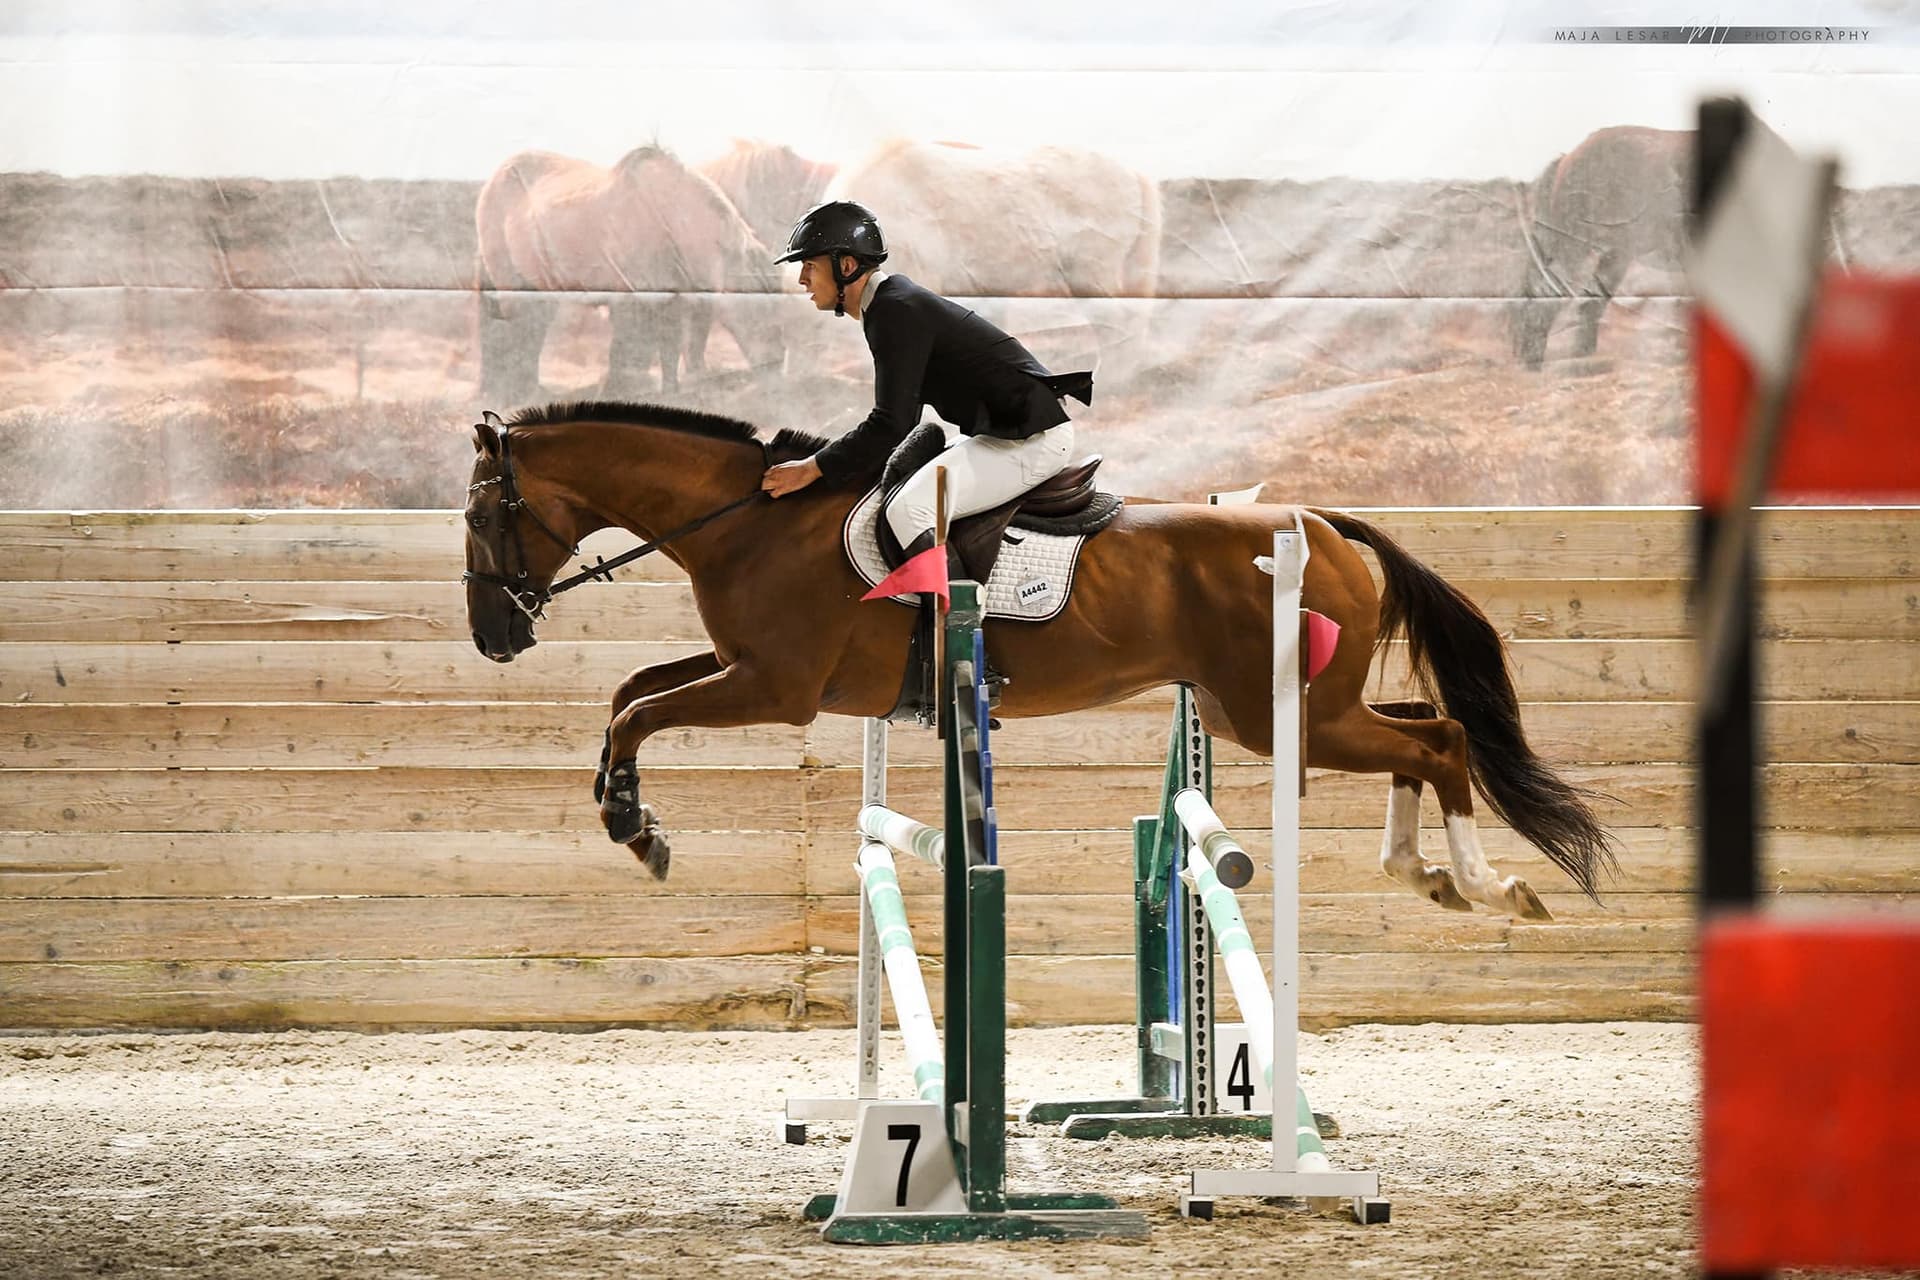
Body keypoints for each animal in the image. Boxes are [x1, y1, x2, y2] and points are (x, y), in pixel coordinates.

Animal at [461, 401, 1618, 922]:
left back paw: (1488, 881)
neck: (750, 519)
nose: (493, 638)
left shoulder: (773, 689)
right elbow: (631, 691)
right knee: (1428, 732)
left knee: (1443, 742)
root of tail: (1320, 523)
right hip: (1282, 709)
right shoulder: (743, 666)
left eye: (481, 514)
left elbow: (637, 712)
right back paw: (1426, 872)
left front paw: (633, 826)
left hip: (1277, 713)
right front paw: (624, 806)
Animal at [474, 145, 786, 404]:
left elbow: (672, 349)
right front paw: (615, 392)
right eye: (759, 305)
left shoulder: (674, 300)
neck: (668, 218)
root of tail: (493, 180)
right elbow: (625, 352)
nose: (776, 369)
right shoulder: (629, 300)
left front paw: (673, 392)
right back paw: (519, 392)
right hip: (514, 285)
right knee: (514, 334)